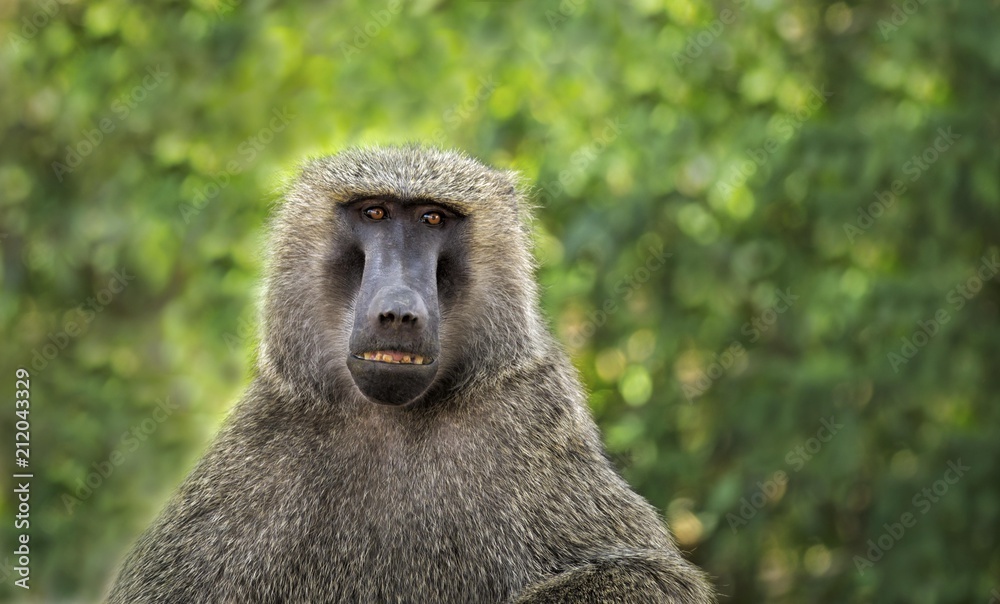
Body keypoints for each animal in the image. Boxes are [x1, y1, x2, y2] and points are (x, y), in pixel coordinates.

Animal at [107, 145, 715, 603]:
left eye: (432, 218)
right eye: (374, 213)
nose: (398, 312)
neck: (391, 419)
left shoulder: (528, 411)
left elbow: (650, 575)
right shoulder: (265, 437)